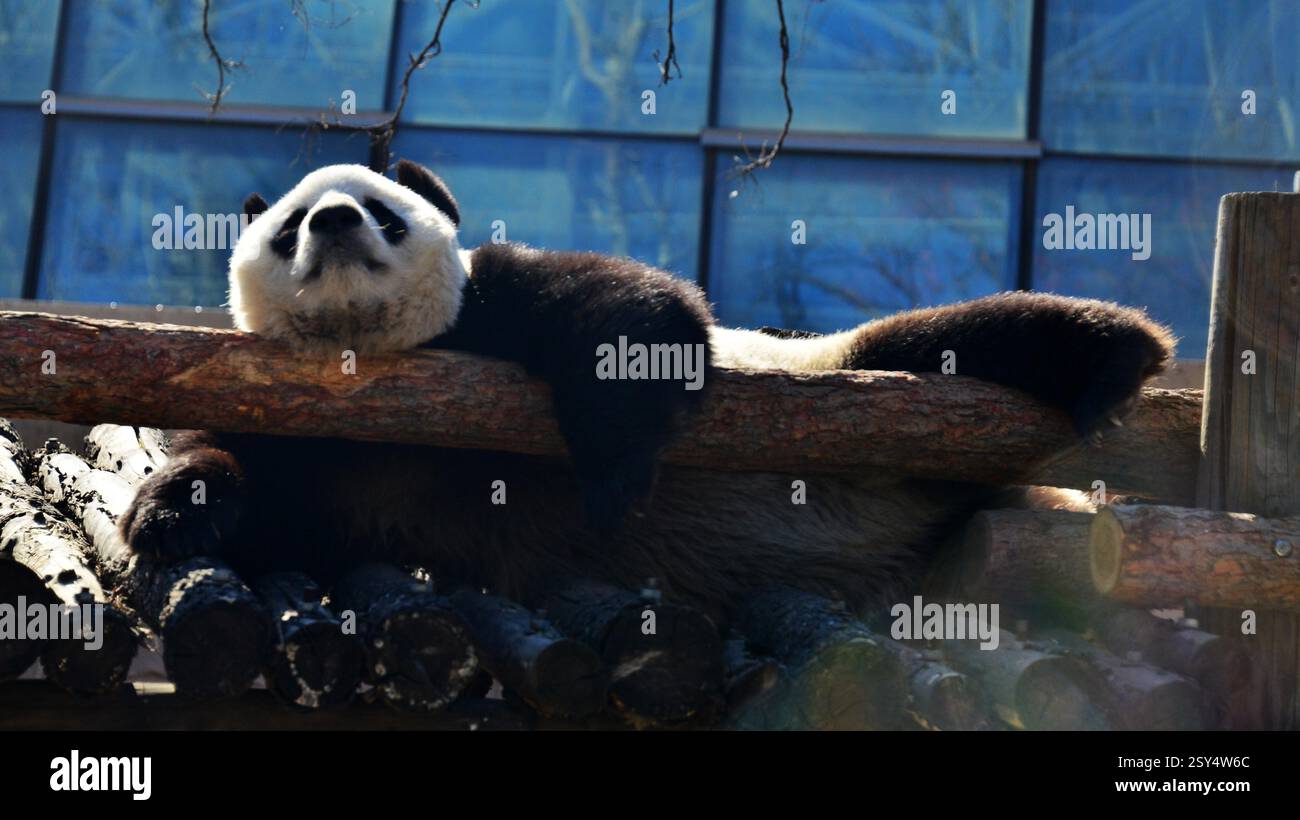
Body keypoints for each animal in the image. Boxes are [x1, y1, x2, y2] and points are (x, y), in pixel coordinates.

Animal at [121, 160, 1175, 627]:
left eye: (382, 209)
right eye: (291, 223)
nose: (337, 223)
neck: (371, 362)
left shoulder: (488, 305)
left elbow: (637, 318)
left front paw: (616, 475)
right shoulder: (310, 430)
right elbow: (255, 491)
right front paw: (174, 512)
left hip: (857, 384)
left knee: (964, 341)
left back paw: (1114, 356)